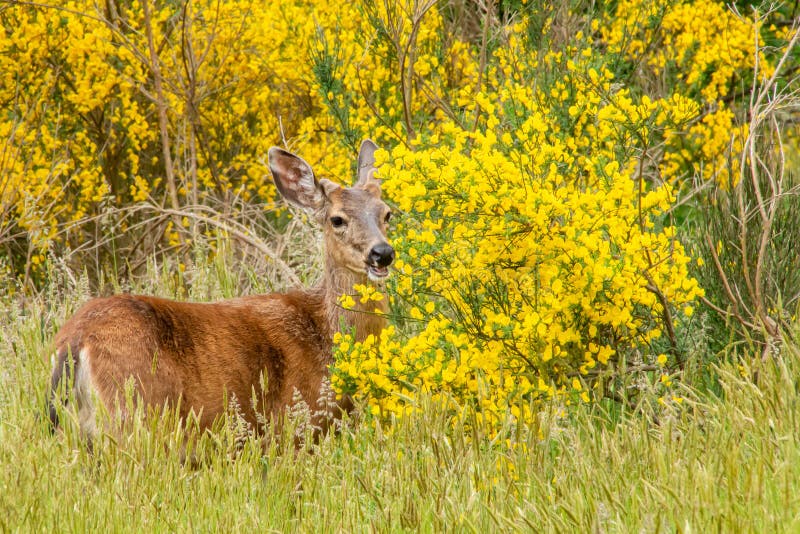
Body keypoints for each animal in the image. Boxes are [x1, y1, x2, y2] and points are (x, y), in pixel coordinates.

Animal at [47, 140, 394, 444]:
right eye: (337, 219)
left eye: (387, 213)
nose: (382, 253)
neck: (324, 332)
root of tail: (74, 341)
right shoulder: (294, 427)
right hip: (134, 415)